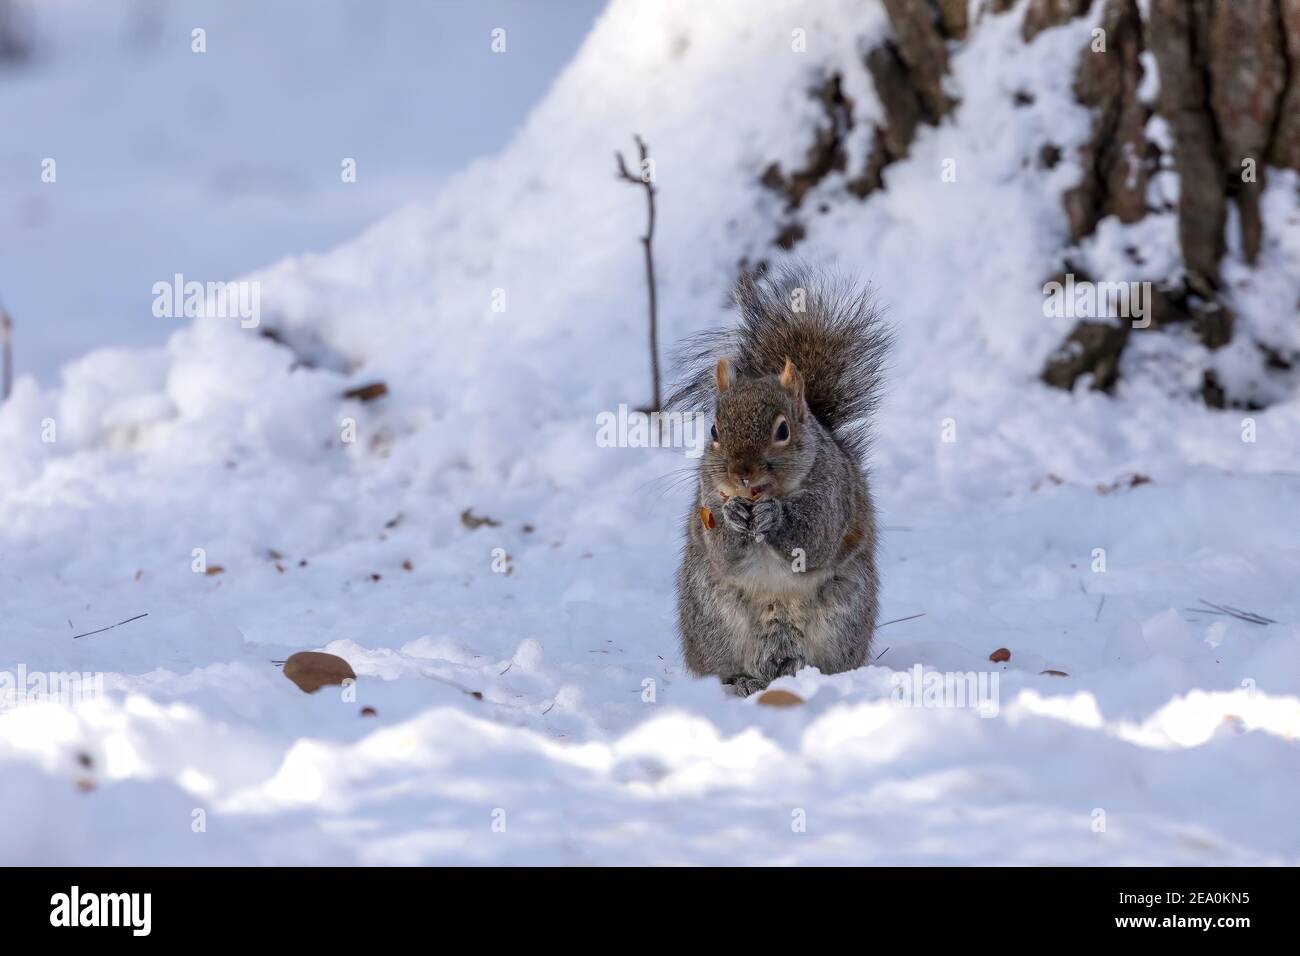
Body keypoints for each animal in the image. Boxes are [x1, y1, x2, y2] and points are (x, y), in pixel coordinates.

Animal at [668, 266, 890, 696]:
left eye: (783, 430)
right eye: (715, 430)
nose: (742, 474)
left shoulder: (833, 495)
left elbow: (814, 536)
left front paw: (775, 517)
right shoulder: (707, 495)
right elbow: (722, 549)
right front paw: (734, 515)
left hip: (844, 617)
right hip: (713, 619)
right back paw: (741, 682)